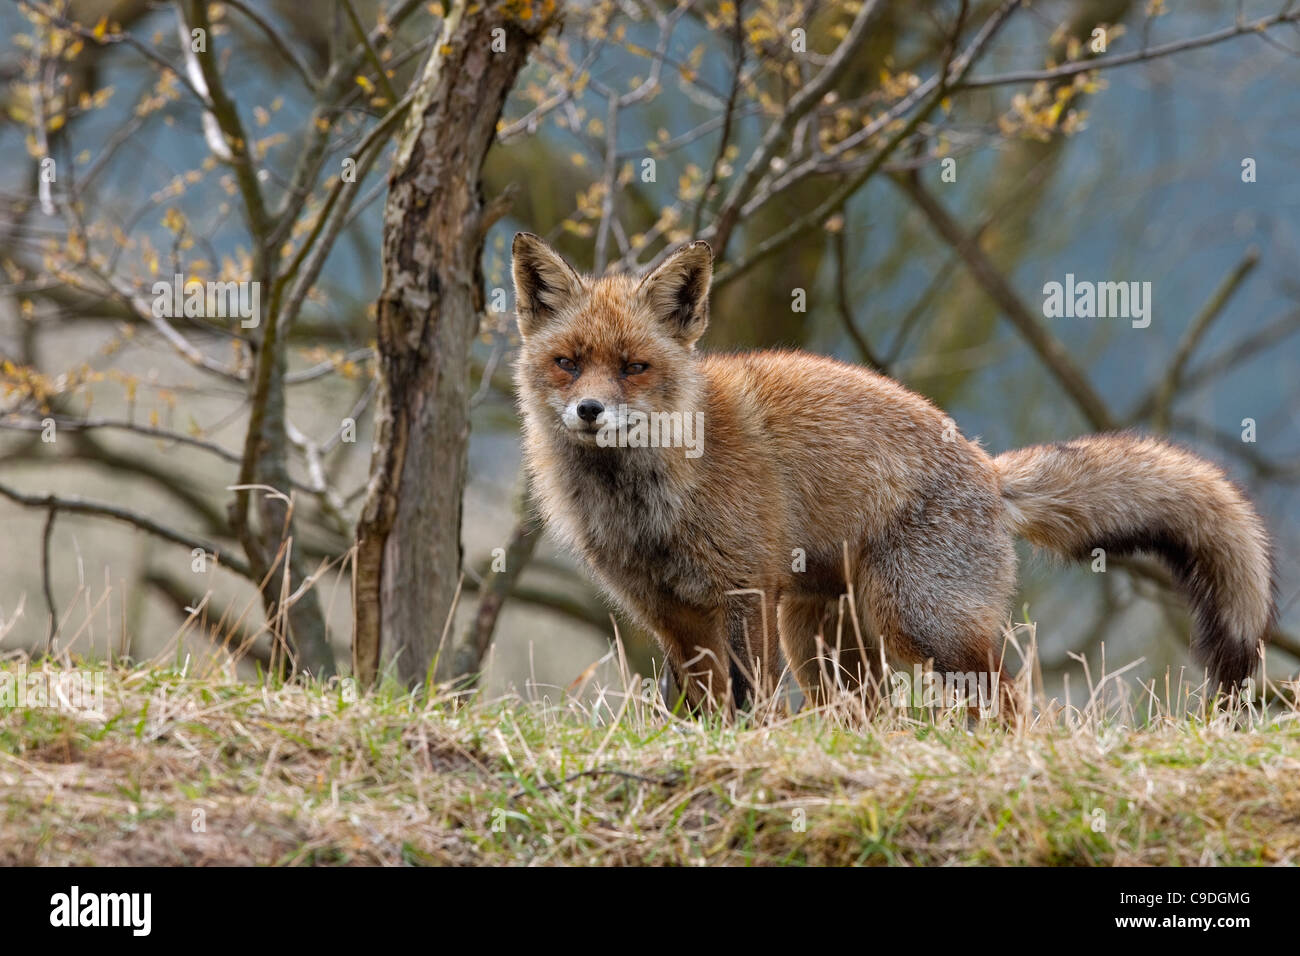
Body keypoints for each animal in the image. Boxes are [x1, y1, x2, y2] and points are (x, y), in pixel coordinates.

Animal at [511, 231, 1274, 716]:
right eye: (568, 363)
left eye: (634, 367)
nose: (589, 411)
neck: (645, 502)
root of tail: (988, 467)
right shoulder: (665, 614)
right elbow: (701, 706)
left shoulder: (743, 590)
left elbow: (749, 700)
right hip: (822, 637)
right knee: (872, 713)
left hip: (916, 620)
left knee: (1011, 700)